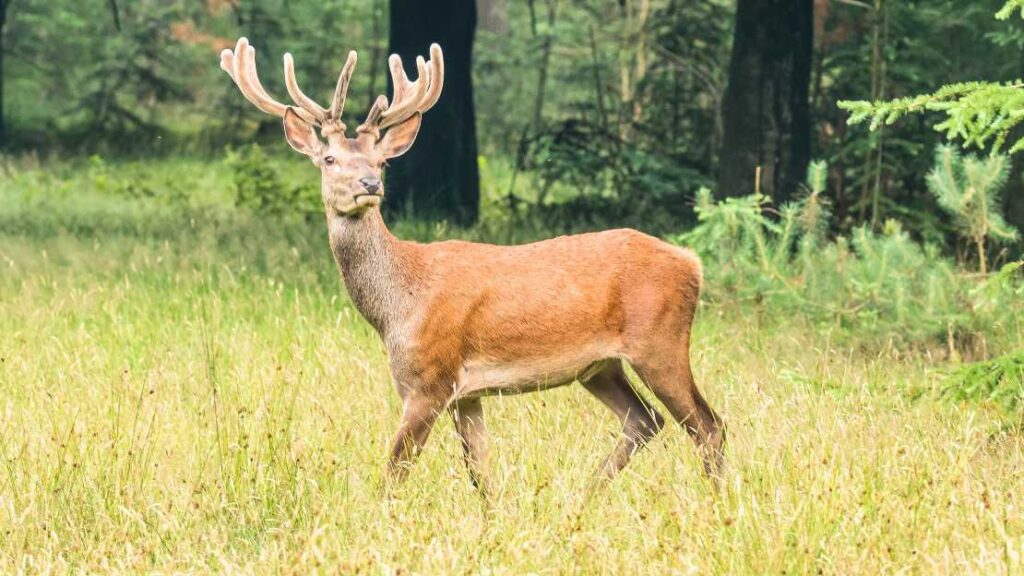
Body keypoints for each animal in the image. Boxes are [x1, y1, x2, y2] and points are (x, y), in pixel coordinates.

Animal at [219, 37, 725, 496]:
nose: (369, 185)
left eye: (381, 161)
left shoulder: (429, 378)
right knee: (646, 420)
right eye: (328, 158)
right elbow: (481, 473)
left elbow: (394, 472)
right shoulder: (468, 394)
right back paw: (585, 495)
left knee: (707, 423)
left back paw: (714, 498)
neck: (398, 305)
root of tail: (692, 263)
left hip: (659, 341)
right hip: (600, 366)